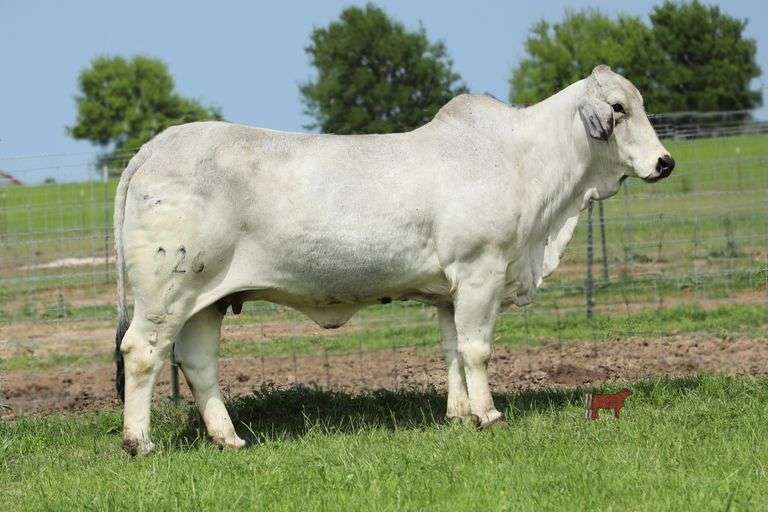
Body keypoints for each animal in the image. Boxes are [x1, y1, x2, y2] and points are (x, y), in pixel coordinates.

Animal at [113, 65, 673, 455]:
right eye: (619, 108)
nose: (665, 162)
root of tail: (154, 147)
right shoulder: (481, 270)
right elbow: (476, 349)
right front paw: (489, 415)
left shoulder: (449, 291)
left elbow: (451, 350)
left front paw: (458, 414)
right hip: (166, 291)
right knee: (141, 353)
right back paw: (140, 443)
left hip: (206, 298)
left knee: (198, 363)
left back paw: (228, 438)